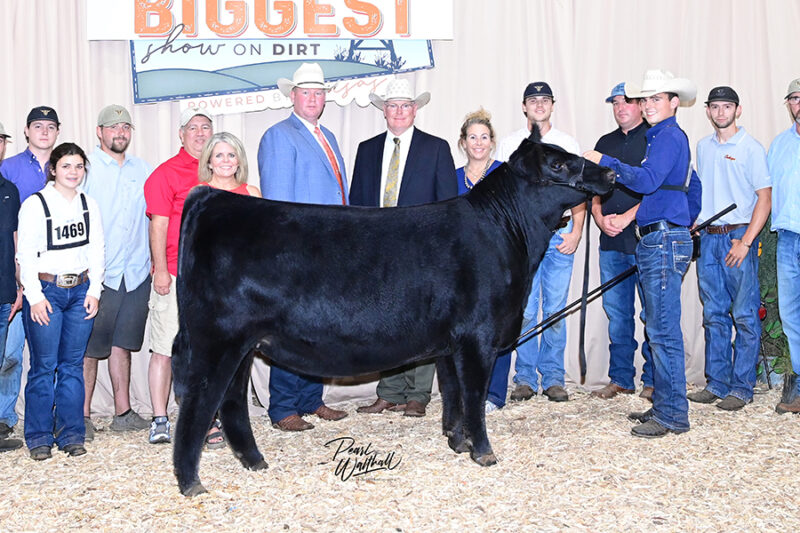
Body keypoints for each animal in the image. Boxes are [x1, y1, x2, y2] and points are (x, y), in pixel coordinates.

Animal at [171, 127, 615, 496]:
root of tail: (212, 198)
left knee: (231, 401)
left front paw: (456, 441)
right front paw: (483, 452)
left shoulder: (451, 342)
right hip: (217, 340)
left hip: (243, 345)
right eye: (558, 164)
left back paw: (254, 462)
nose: (610, 174)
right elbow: (473, 395)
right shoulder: (479, 336)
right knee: (198, 402)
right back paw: (191, 482)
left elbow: (453, 393)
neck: (506, 232)